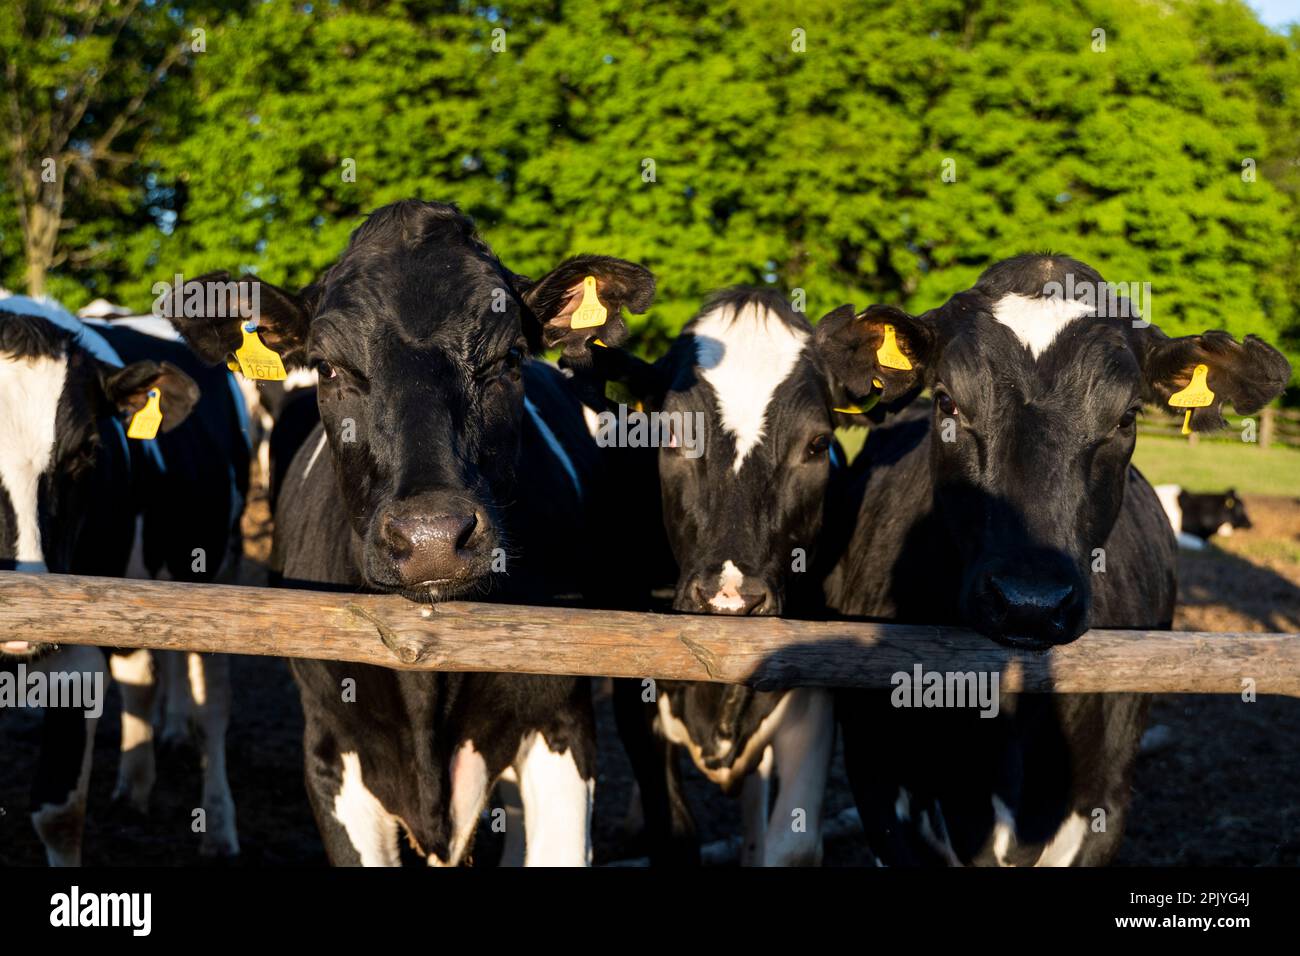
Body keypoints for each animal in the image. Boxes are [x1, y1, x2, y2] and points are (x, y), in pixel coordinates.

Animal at [0, 293, 248, 864]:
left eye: (88, 452)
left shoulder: (73, 656)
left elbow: (58, 814)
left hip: (221, 561)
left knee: (215, 706)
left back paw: (220, 826)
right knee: (141, 674)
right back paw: (136, 785)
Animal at [591, 288, 862, 866]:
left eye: (816, 445)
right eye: (669, 433)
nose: (730, 598)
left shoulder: (815, 690)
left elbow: (791, 844)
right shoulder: (632, 689)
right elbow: (674, 831)